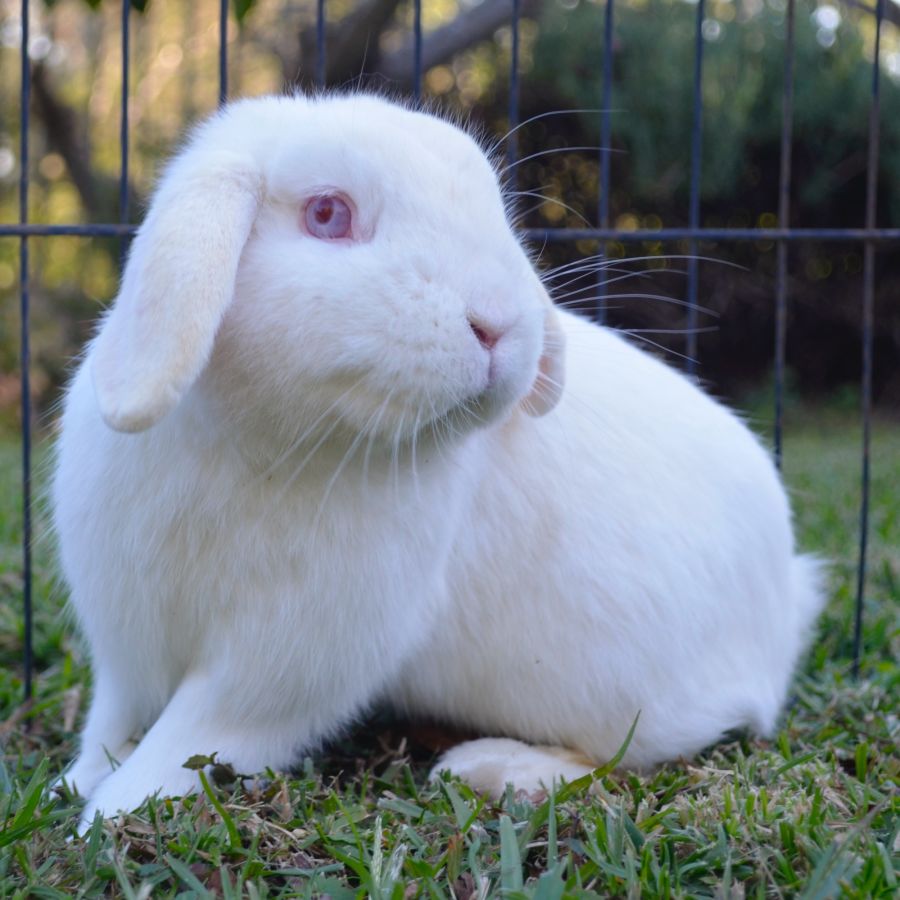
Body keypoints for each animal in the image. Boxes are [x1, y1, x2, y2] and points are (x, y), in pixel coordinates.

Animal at [52, 92, 824, 829]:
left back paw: (495, 769)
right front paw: (75, 783)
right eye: (327, 214)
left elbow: (196, 736)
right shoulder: (127, 646)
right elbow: (114, 724)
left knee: (628, 756)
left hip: (629, 700)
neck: (260, 441)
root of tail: (785, 607)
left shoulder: (286, 657)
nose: (499, 323)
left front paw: (114, 814)